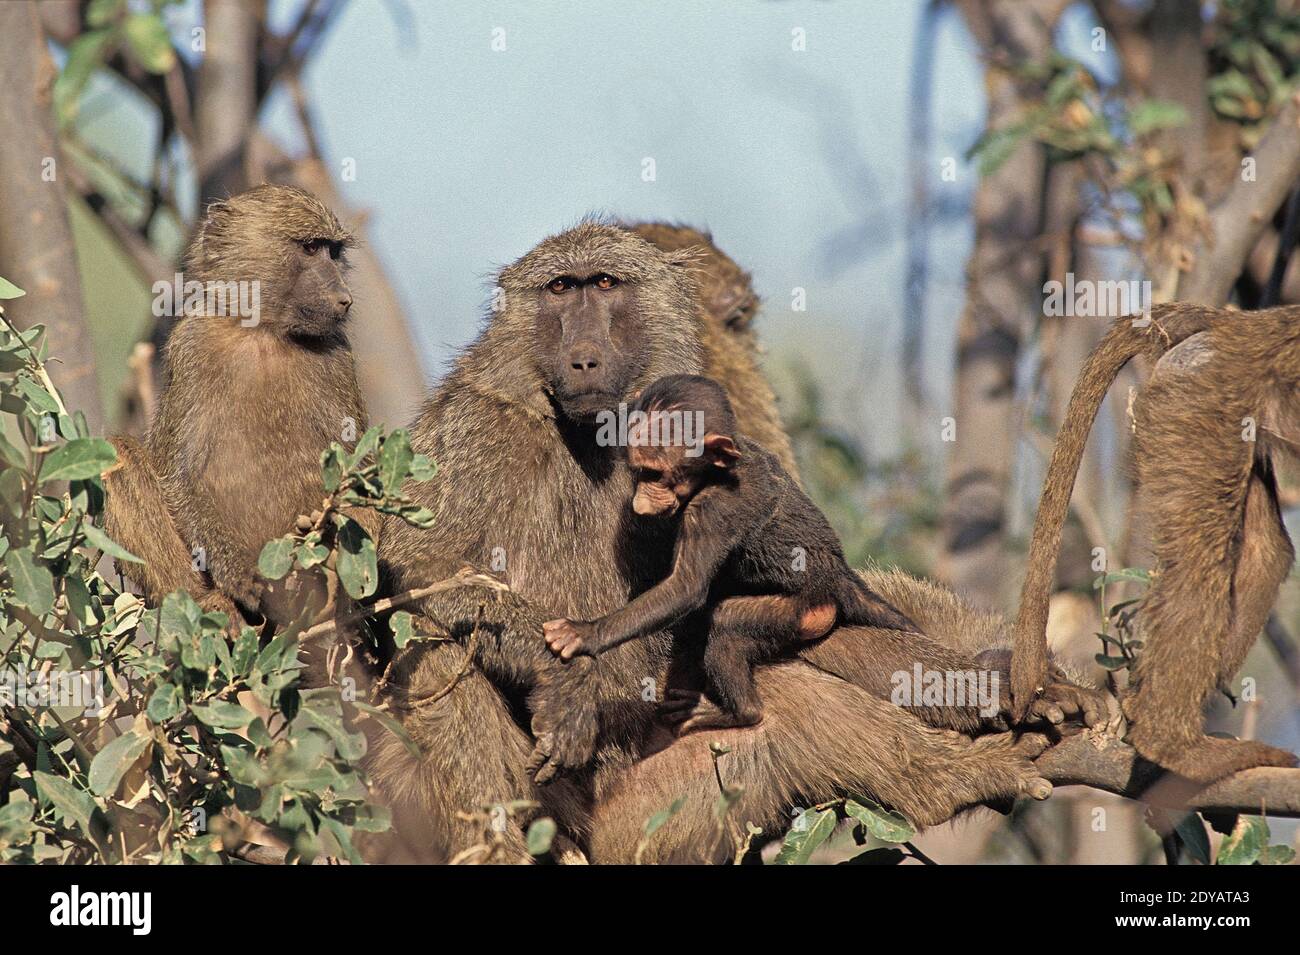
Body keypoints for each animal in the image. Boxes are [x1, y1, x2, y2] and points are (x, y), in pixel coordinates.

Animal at [104, 184, 372, 631]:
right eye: (310, 247)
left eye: (334, 252)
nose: (344, 299)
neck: (263, 332)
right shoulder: (193, 346)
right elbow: (178, 474)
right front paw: (235, 571)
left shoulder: (339, 356)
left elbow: (361, 475)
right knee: (117, 454)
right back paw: (209, 602)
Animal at [541, 373, 915, 735]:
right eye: (639, 472)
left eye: (655, 474)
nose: (640, 500)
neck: (714, 473)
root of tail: (839, 576)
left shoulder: (714, 508)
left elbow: (686, 587)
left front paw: (585, 633)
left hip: (807, 613)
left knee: (727, 623)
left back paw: (739, 712)